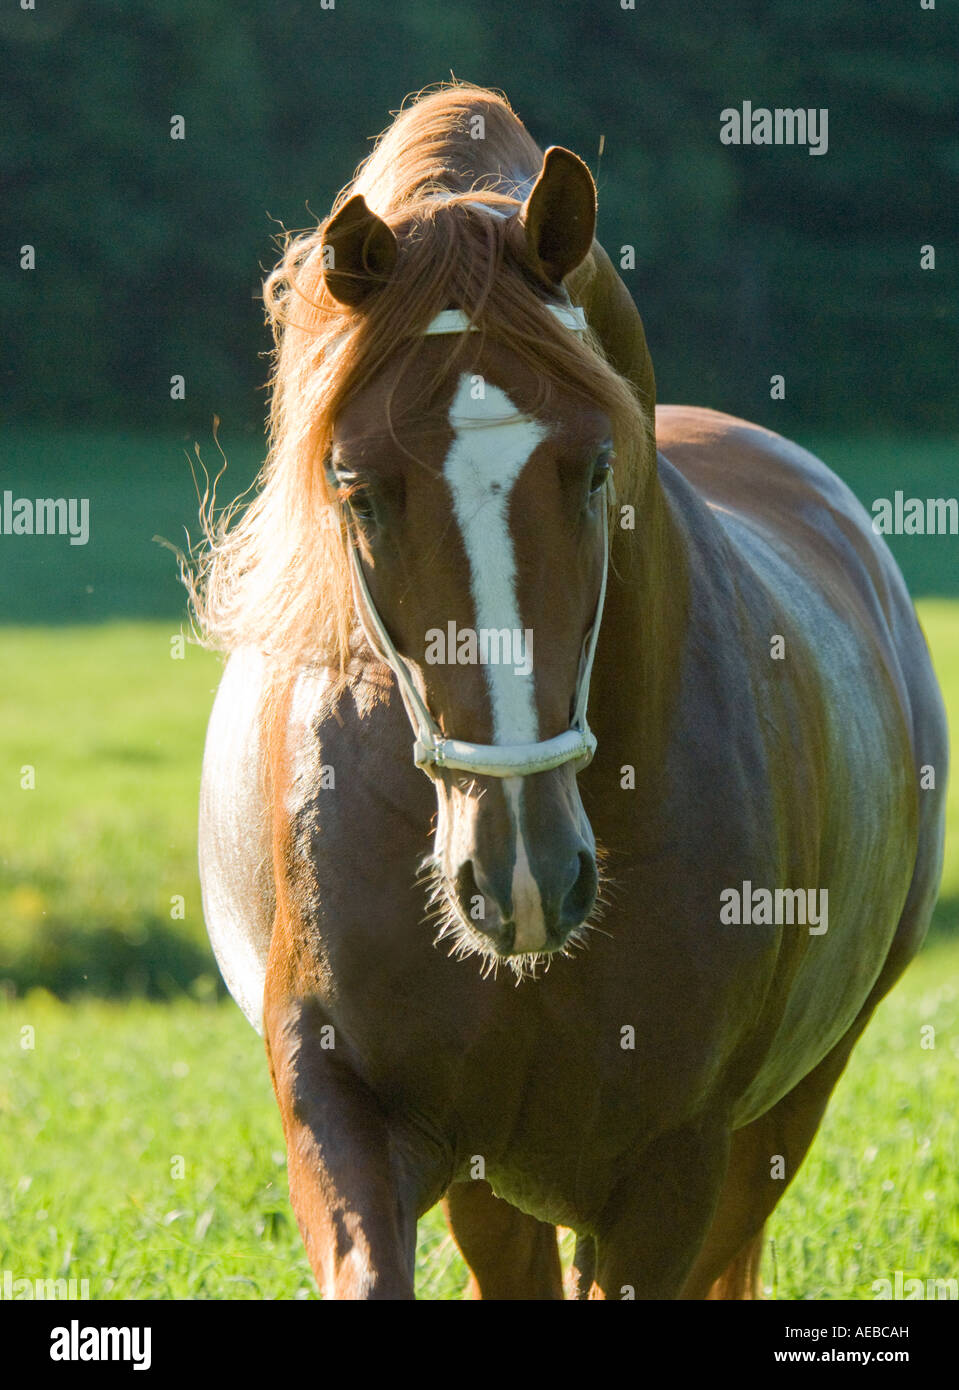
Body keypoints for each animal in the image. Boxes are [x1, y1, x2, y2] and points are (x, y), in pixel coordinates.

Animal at [194, 83, 948, 1299]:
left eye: (595, 470)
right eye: (355, 487)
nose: (521, 876)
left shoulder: (671, 1173)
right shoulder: (345, 1114)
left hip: (782, 1116)